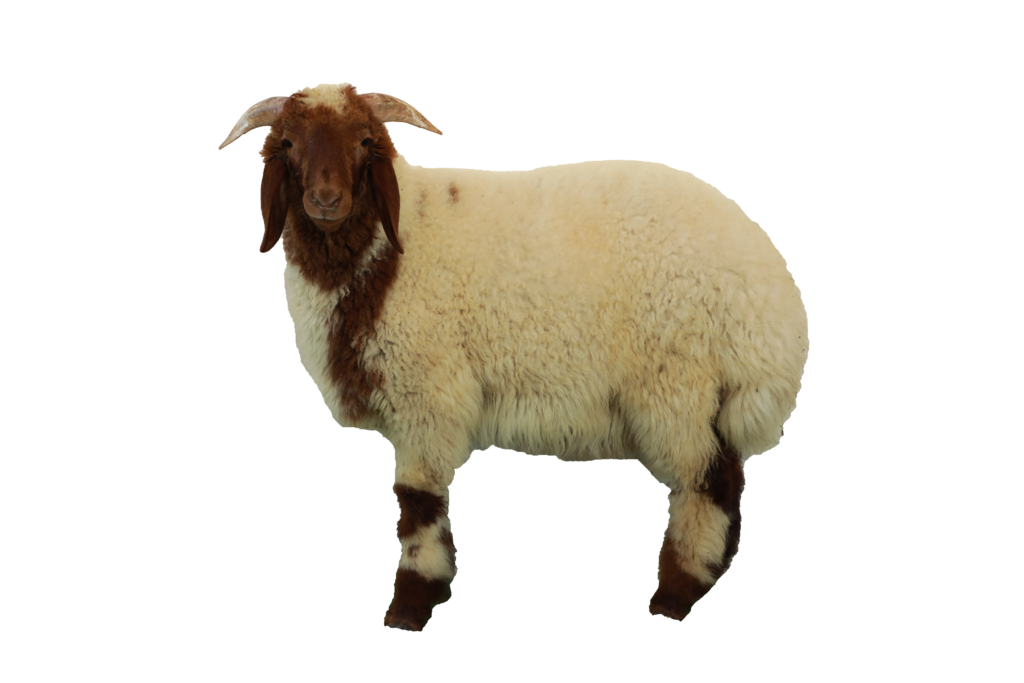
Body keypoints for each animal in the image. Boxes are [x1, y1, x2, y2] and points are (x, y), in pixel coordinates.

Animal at [219, 82, 810, 632]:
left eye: (365, 142)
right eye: (287, 144)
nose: (325, 201)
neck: (392, 246)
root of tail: (771, 306)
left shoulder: (427, 392)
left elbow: (417, 502)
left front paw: (411, 604)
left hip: (676, 380)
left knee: (706, 482)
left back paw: (675, 594)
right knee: (725, 474)